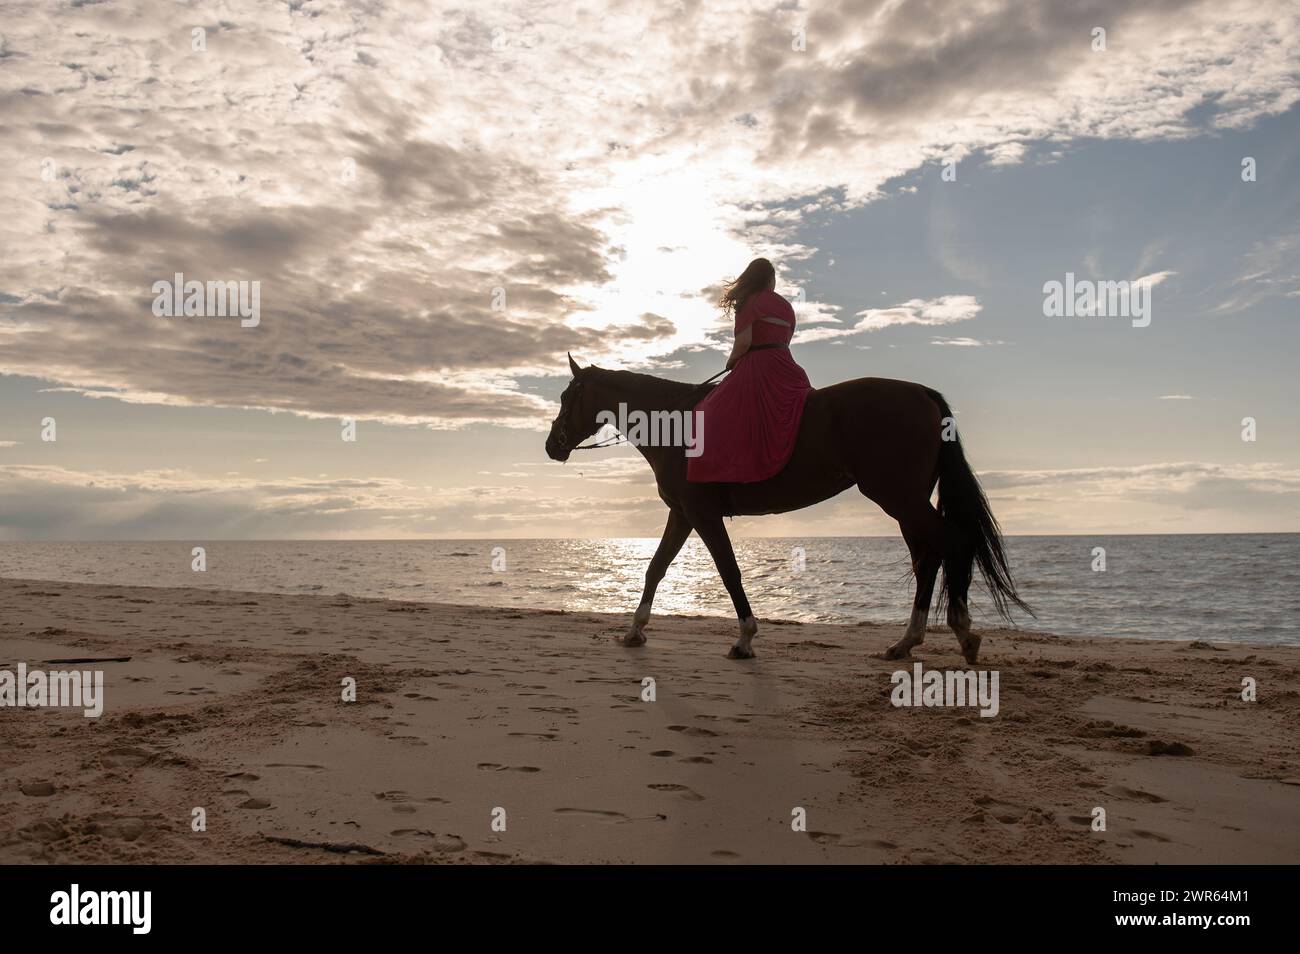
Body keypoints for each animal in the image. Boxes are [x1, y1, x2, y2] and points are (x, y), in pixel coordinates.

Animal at [545, 353, 1030, 663]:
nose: (552, 446)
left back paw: (962, 632)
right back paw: (906, 642)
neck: (677, 423)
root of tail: (921, 394)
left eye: (567, 397)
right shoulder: (682, 514)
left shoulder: (702, 514)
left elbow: (729, 571)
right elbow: (655, 568)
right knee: (928, 558)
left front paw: (745, 639)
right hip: (906, 501)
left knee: (951, 545)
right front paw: (634, 630)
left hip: (899, 497)